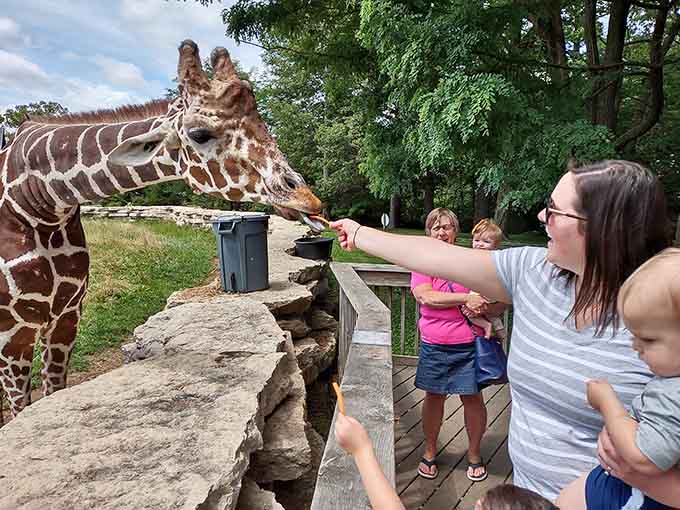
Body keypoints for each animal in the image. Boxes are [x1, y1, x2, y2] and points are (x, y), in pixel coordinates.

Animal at [0, 39, 323, 417]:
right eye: (199, 134)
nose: (306, 198)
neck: (40, 201)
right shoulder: (13, 331)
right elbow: (22, 408)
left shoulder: (67, 314)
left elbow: (52, 390)